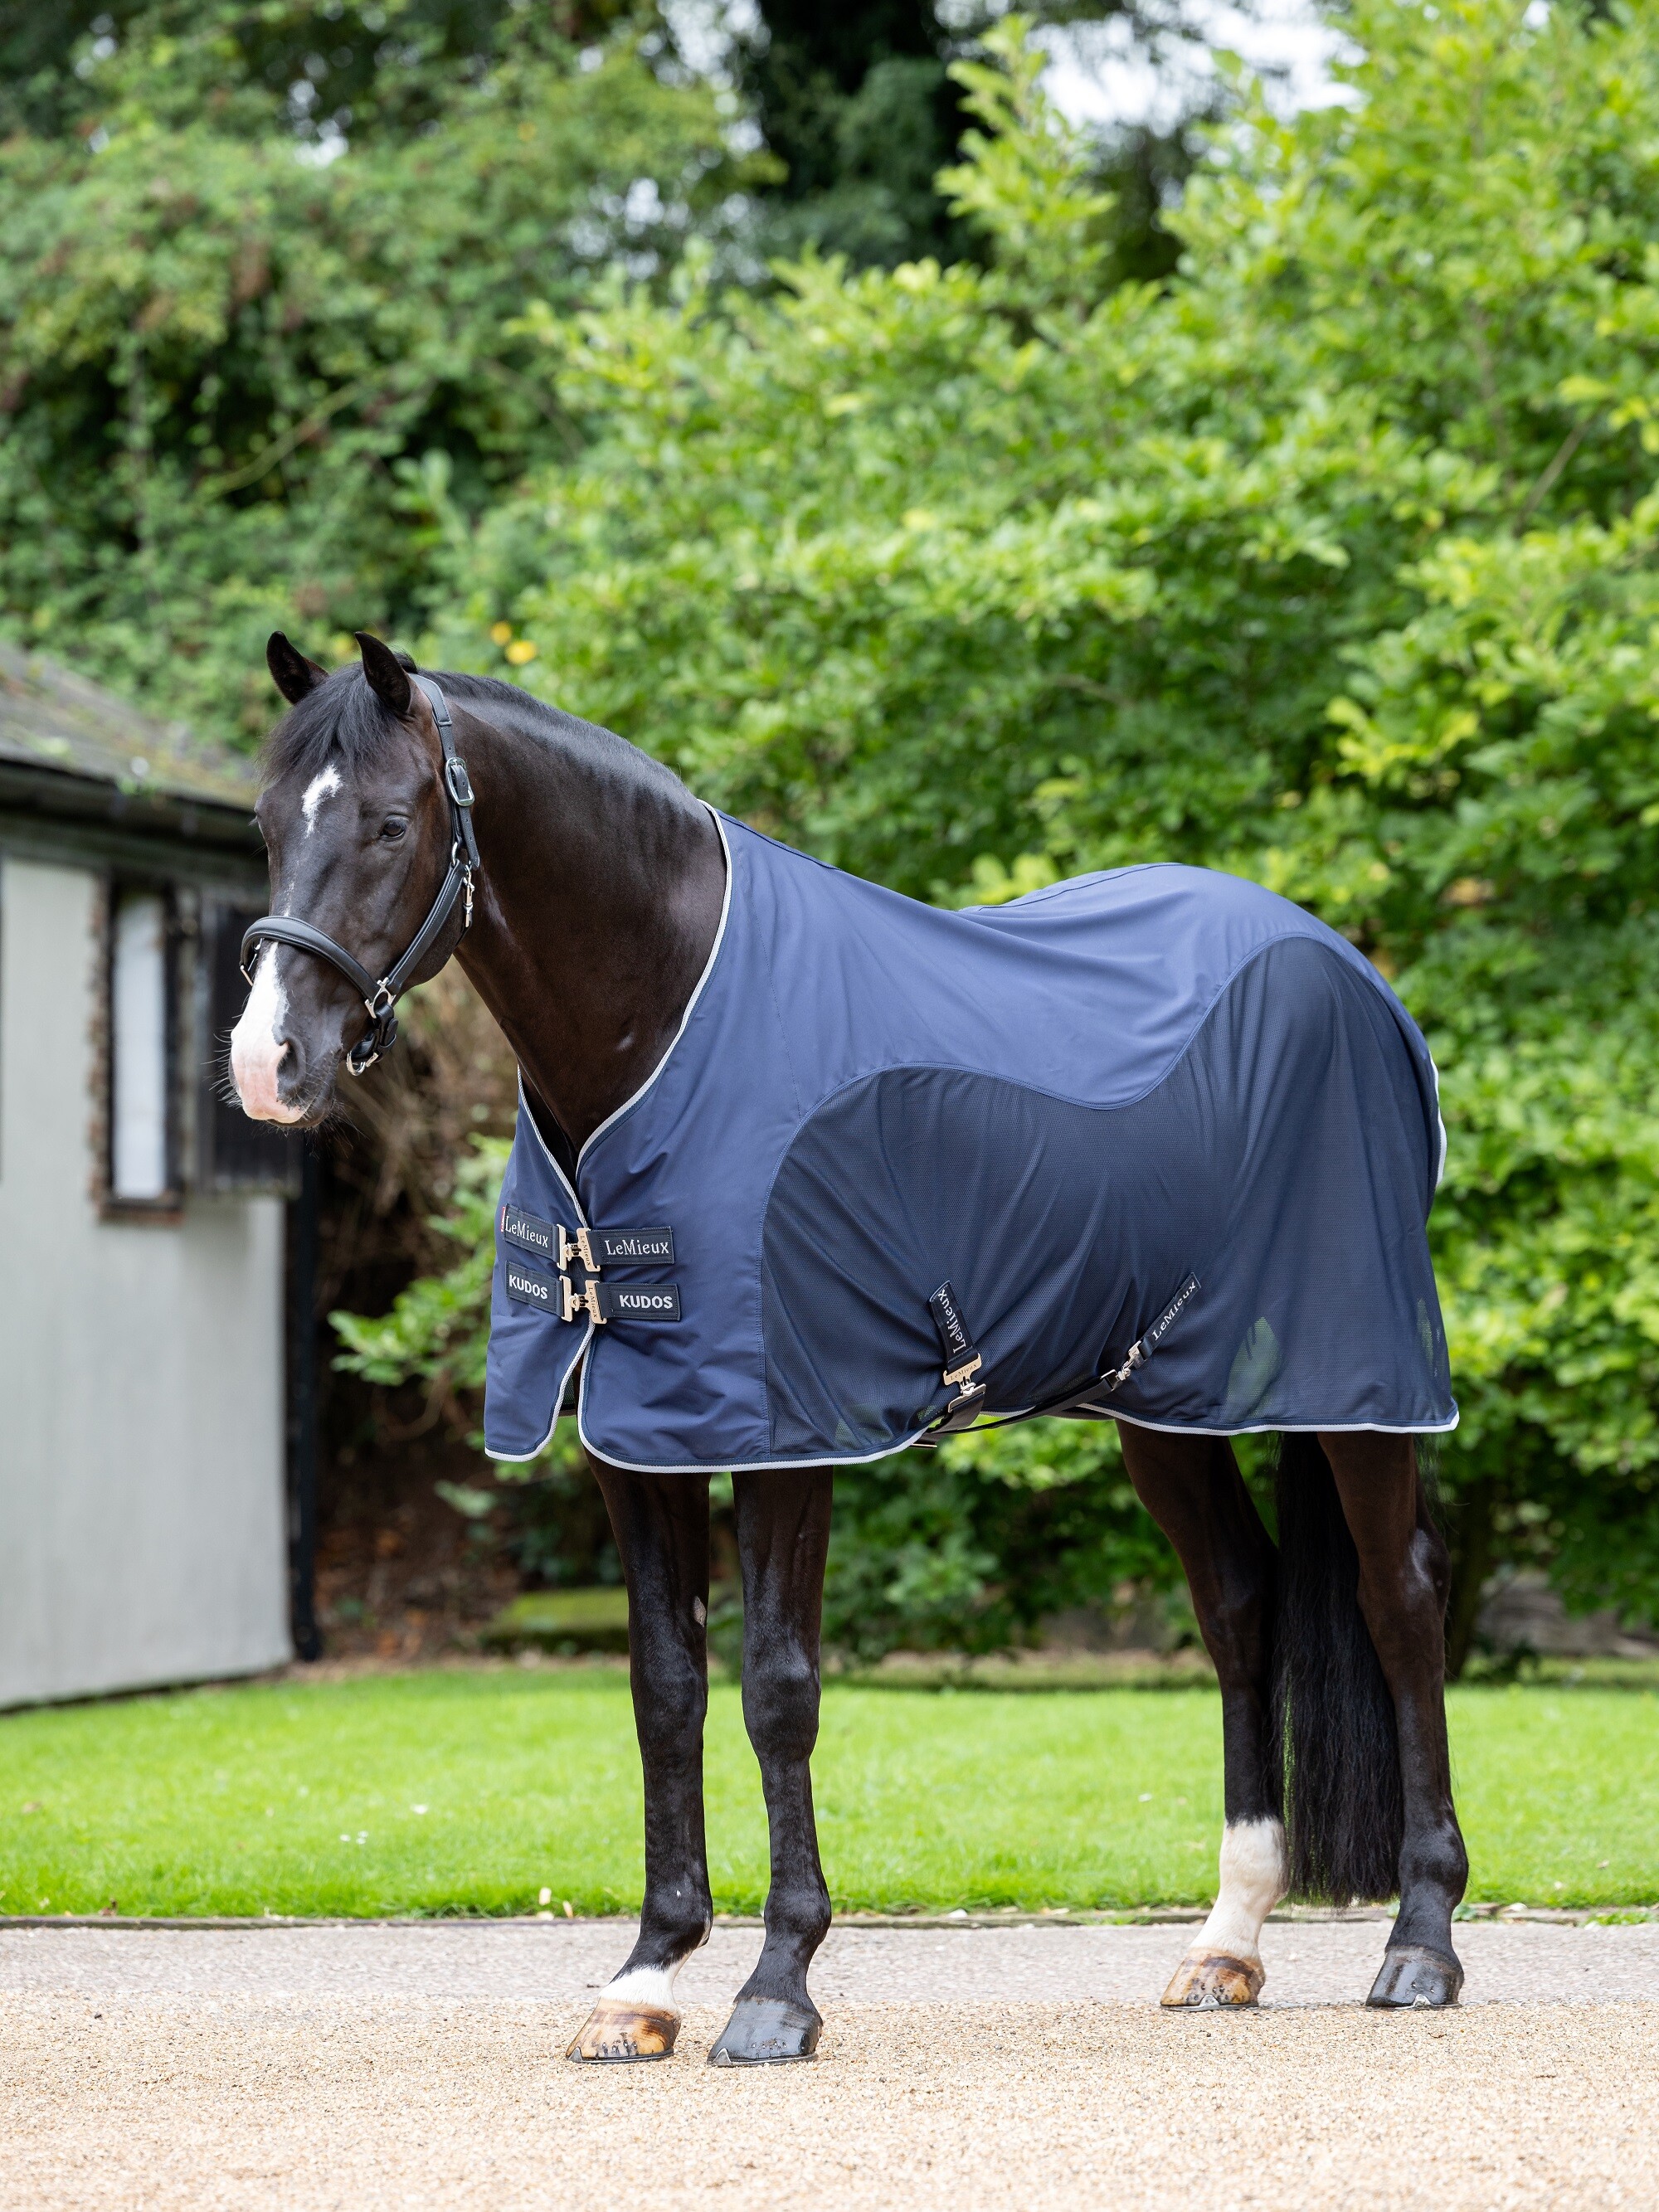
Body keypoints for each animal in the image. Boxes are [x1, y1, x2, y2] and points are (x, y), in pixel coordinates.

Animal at [231, 630, 1469, 2062]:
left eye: (388, 821)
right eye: (269, 823)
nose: (269, 1062)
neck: (669, 1018)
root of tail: (1343, 964)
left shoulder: (782, 1433)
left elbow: (777, 1688)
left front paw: (778, 1985)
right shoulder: (636, 1440)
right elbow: (665, 1688)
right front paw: (644, 1978)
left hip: (1356, 1380)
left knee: (1401, 1599)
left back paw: (1422, 1937)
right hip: (1165, 1400)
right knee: (1242, 1604)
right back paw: (1228, 1939)